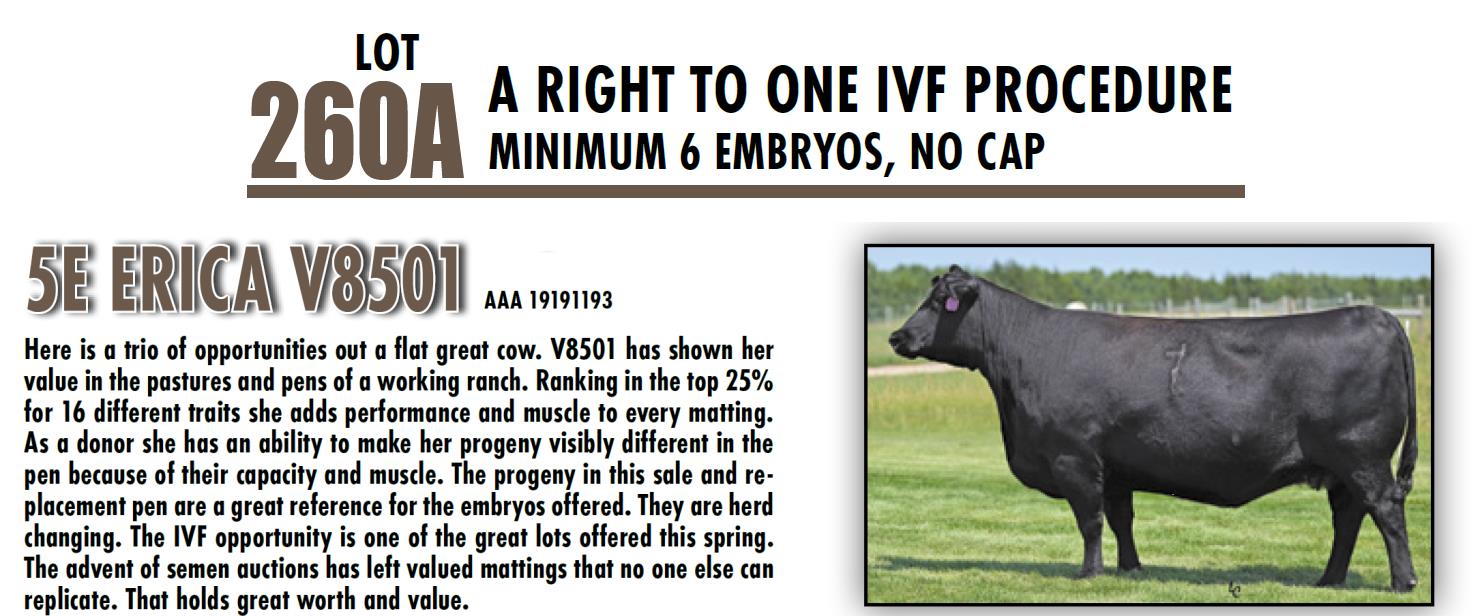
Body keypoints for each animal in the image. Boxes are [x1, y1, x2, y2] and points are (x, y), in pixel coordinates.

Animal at [887, 266, 1419, 591]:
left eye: (938, 301)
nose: (896, 336)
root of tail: (1379, 314)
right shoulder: (1115, 467)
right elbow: (1120, 518)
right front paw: (1130, 569)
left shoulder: (1073, 456)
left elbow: (1090, 520)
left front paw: (1089, 574)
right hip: (1341, 468)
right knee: (1348, 519)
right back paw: (1329, 580)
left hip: (1363, 457)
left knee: (1385, 512)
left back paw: (1402, 581)